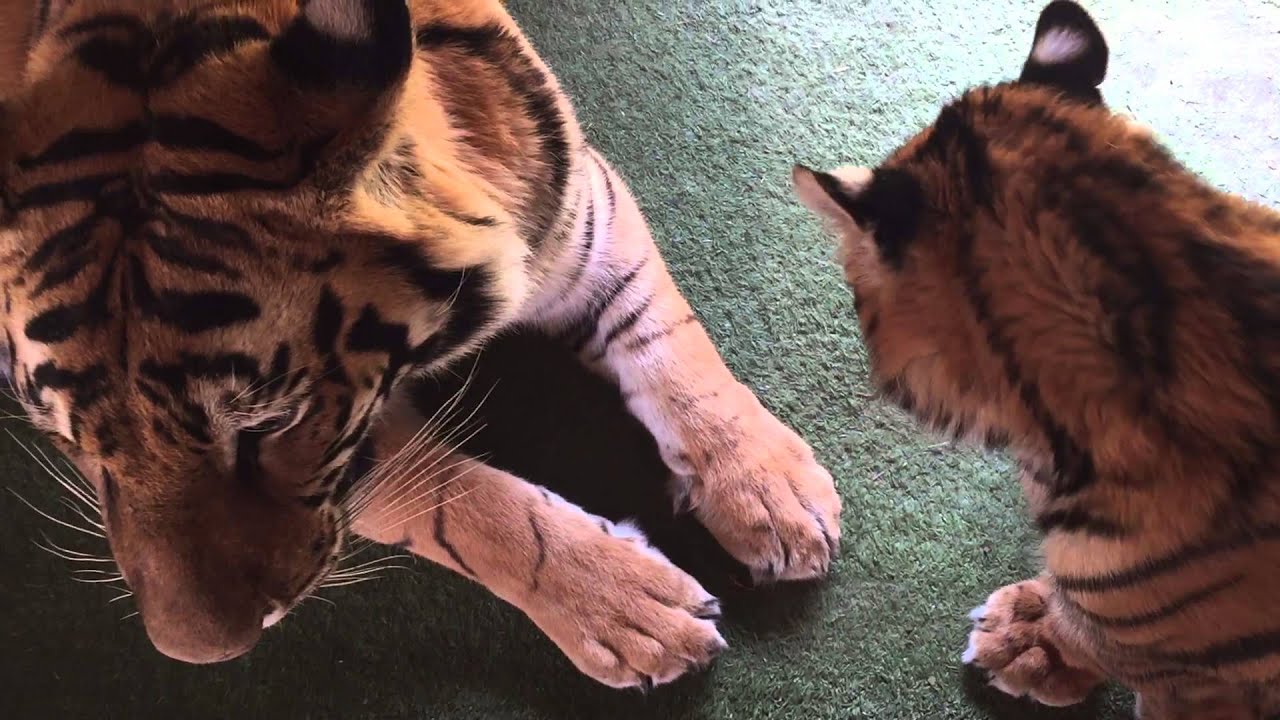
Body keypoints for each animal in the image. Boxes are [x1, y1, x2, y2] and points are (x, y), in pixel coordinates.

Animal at [0, 0, 844, 689]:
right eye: (71, 444)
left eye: (267, 427)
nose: (200, 654)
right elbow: (457, 507)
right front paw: (627, 611)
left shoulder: (581, 213)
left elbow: (661, 334)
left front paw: (771, 494)